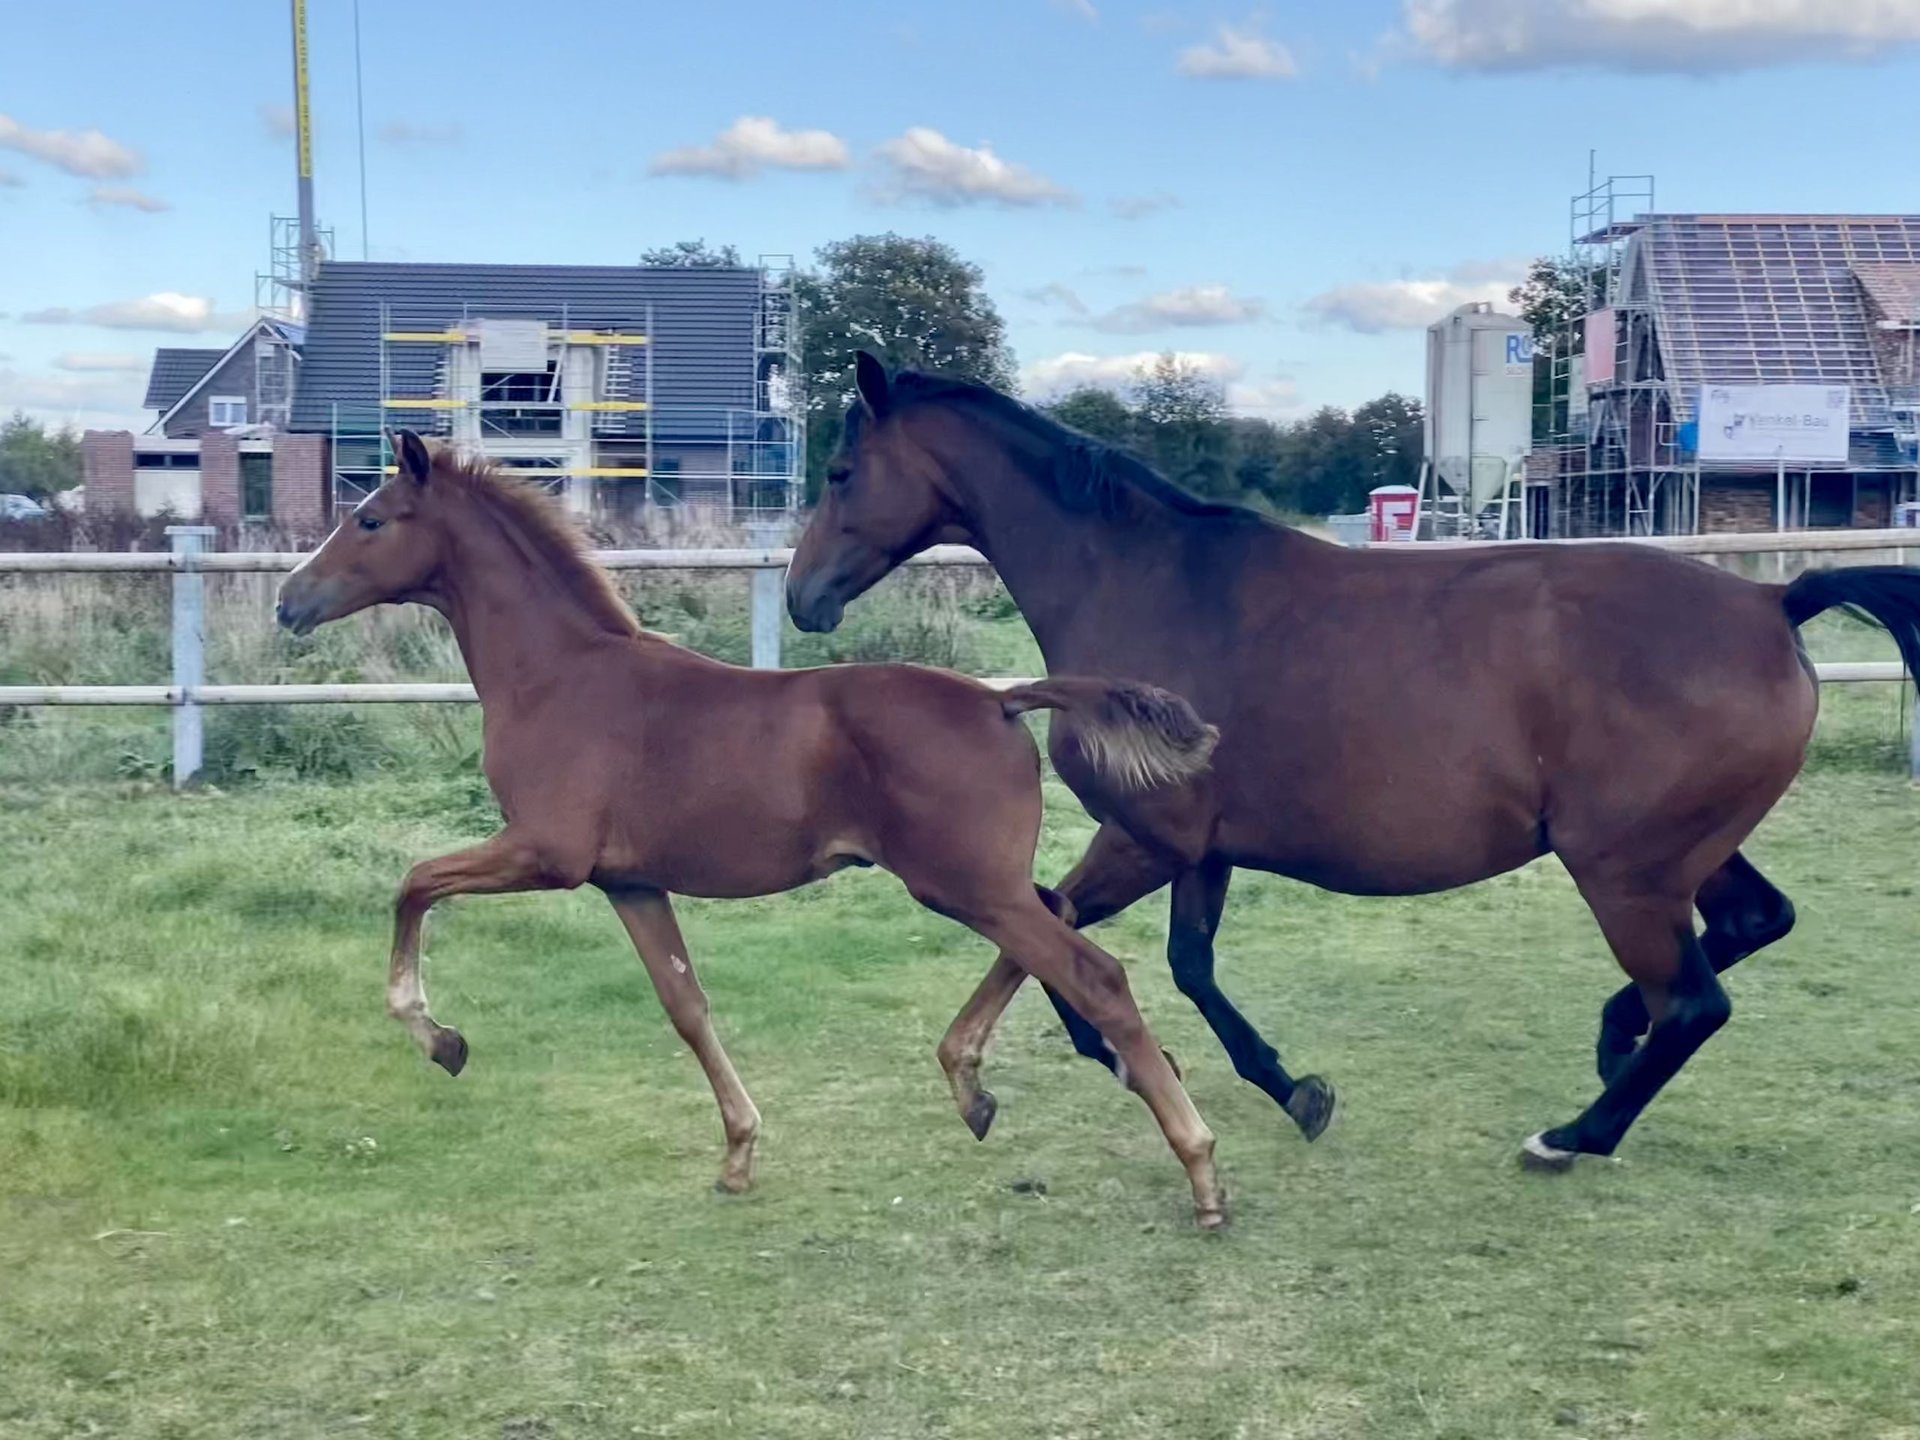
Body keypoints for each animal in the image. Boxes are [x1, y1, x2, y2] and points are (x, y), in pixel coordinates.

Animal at [274, 431, 1231, 1226]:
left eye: (370, 518)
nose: (288, 601)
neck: (558, 676)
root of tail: (1000, 701)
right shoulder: (629, 880)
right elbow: (686, 1006)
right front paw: (738, 1154)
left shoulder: (546, 852)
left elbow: (413, 883)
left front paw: (440, 1040)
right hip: (981, 888)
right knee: (1061, 931)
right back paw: (974, 1089)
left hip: (967, 887)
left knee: (1095, 974)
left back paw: (1200, 1170)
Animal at [785, 352, 1920, 1173]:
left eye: (839, 472)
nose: (803, 598)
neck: (1146, 582)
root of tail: (1774, 601)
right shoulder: (1201, 848)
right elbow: (1155, 953)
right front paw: (1271, 1086)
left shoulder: (1149, 835)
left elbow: (1068, 929)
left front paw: (1148, 1065)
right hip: (1683, 854)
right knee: (1752, 925)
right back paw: (1613, 1039)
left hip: (1623, 870)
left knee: (1696, 1002)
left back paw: (1574, 1131)